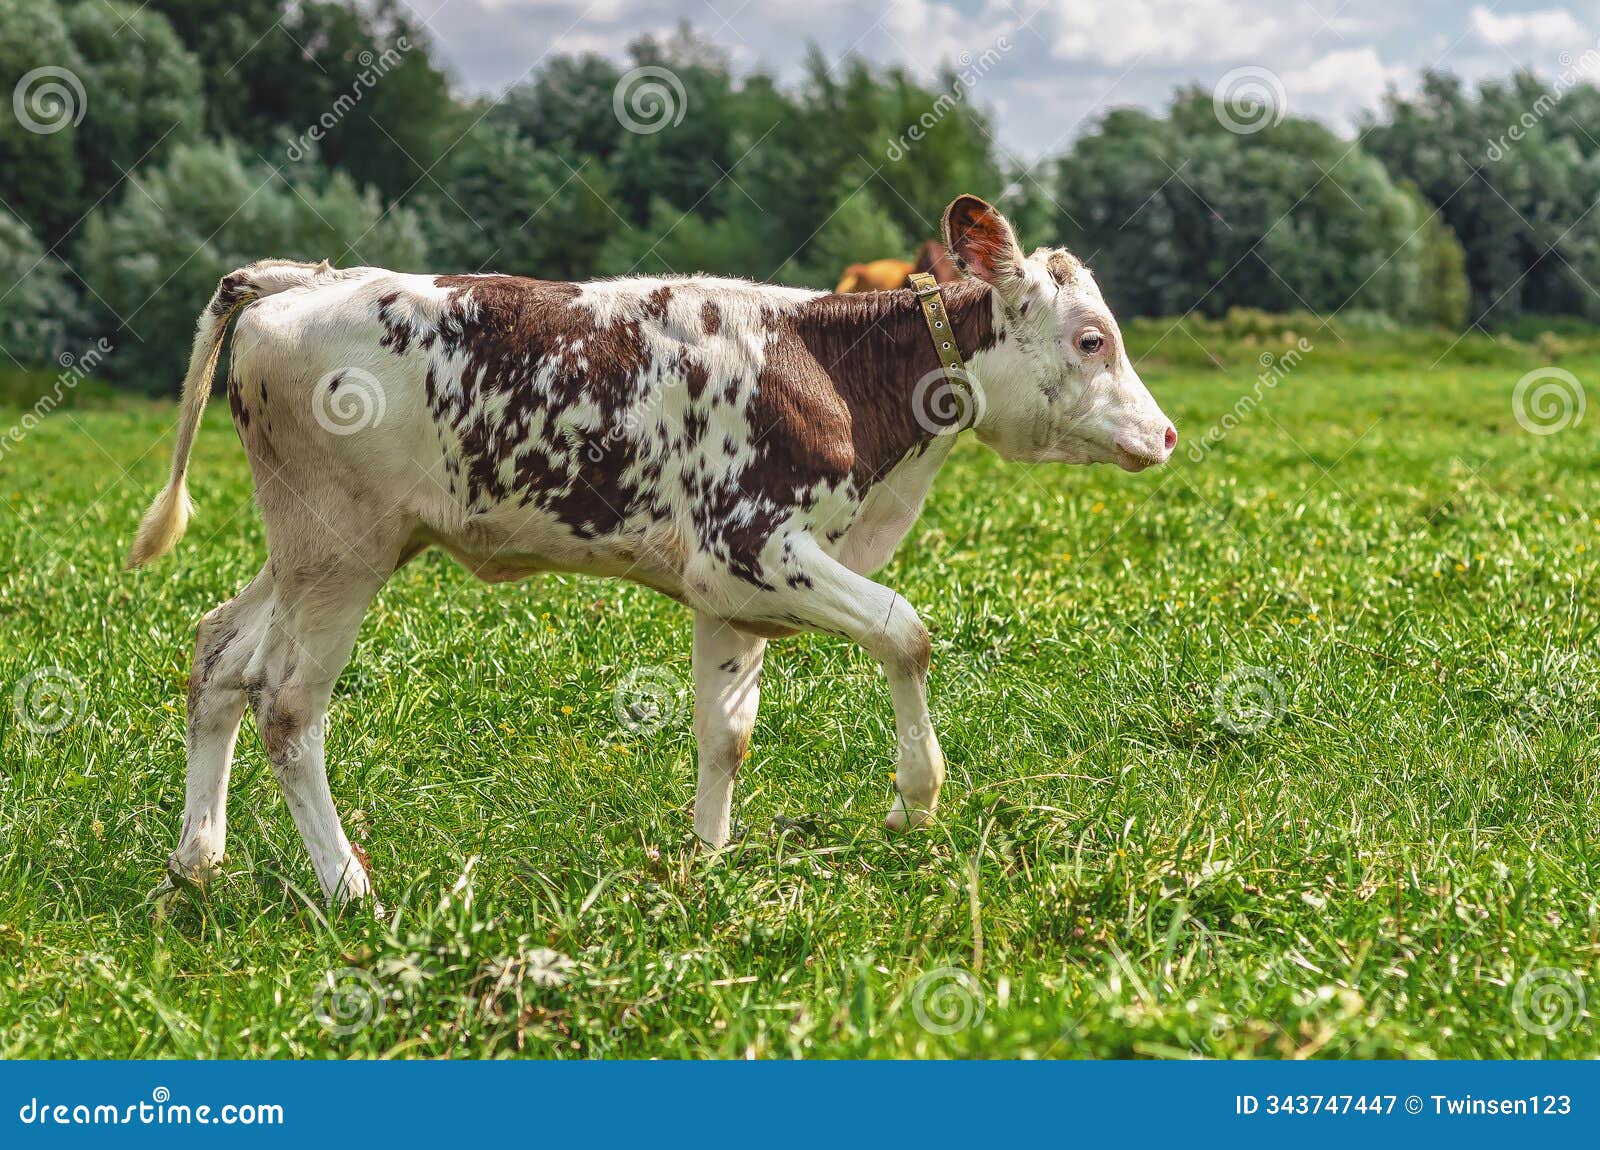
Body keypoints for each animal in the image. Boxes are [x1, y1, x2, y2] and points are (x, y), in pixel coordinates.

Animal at [129, 195, 1176, 906]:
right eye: (1093, 340)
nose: (1164, 436)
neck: (834, 372)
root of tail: (307, 279)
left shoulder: (731, 592)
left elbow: (726, 729)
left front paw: (706, 860)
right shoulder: (755, 547)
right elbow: (904, 630)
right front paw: (915, 801)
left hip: (310, 546)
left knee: (220, 657)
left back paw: (197, 860)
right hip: (341, 549)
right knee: (286, 703)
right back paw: (348, 886)